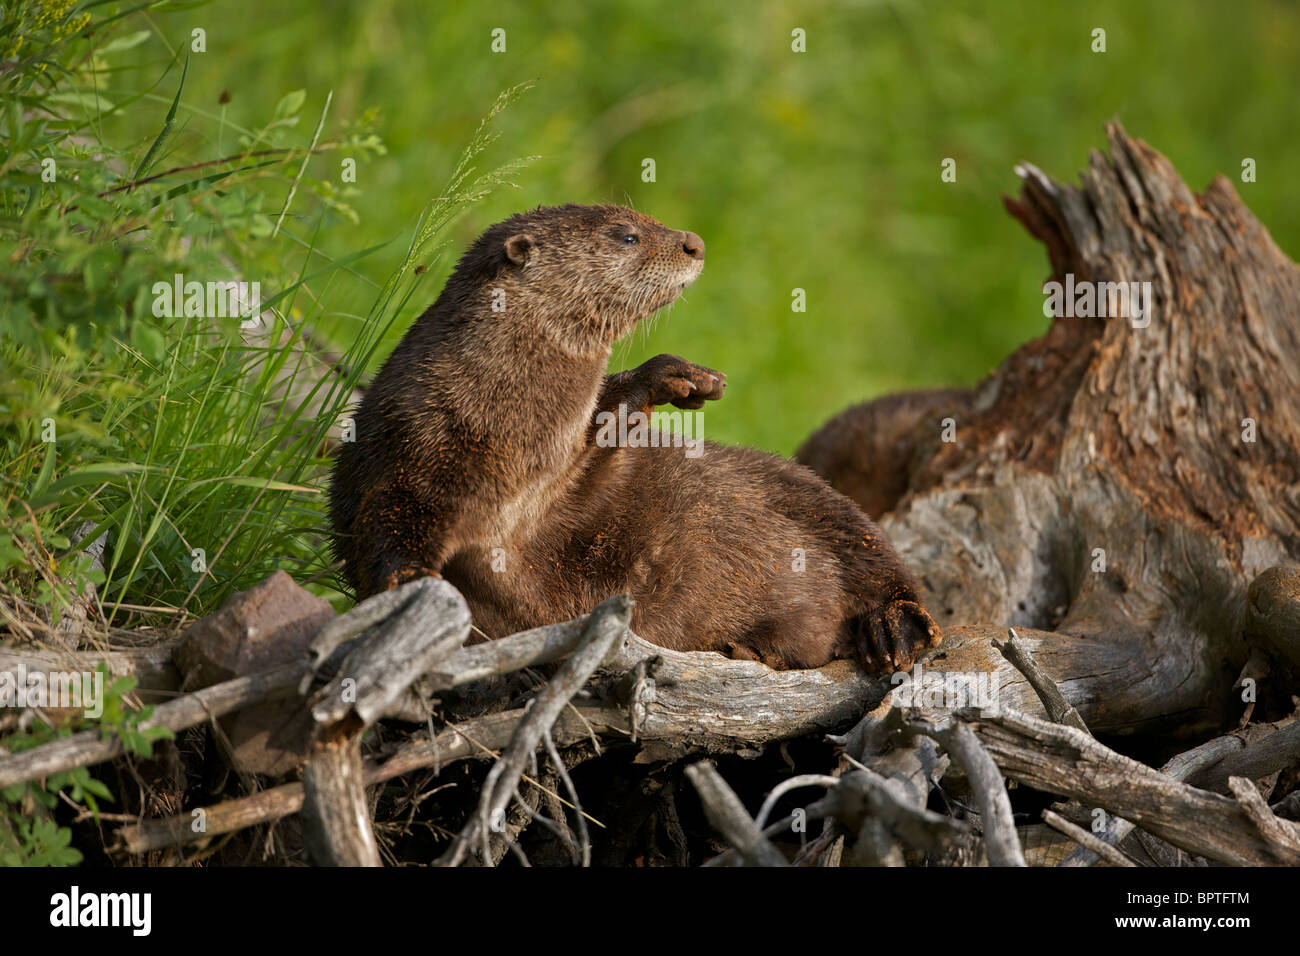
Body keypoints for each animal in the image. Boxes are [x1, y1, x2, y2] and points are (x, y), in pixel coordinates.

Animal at [330, 204, 940, 672]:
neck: (502, 430)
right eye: (627, 234)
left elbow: (607, 432)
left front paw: (681, 376)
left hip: (808, 494)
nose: (695, 242)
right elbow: (387, 530)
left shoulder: (566, 472)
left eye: (647, 218)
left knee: (876, 558)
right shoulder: (408, 454)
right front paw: (412, 589)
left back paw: (890, 629)